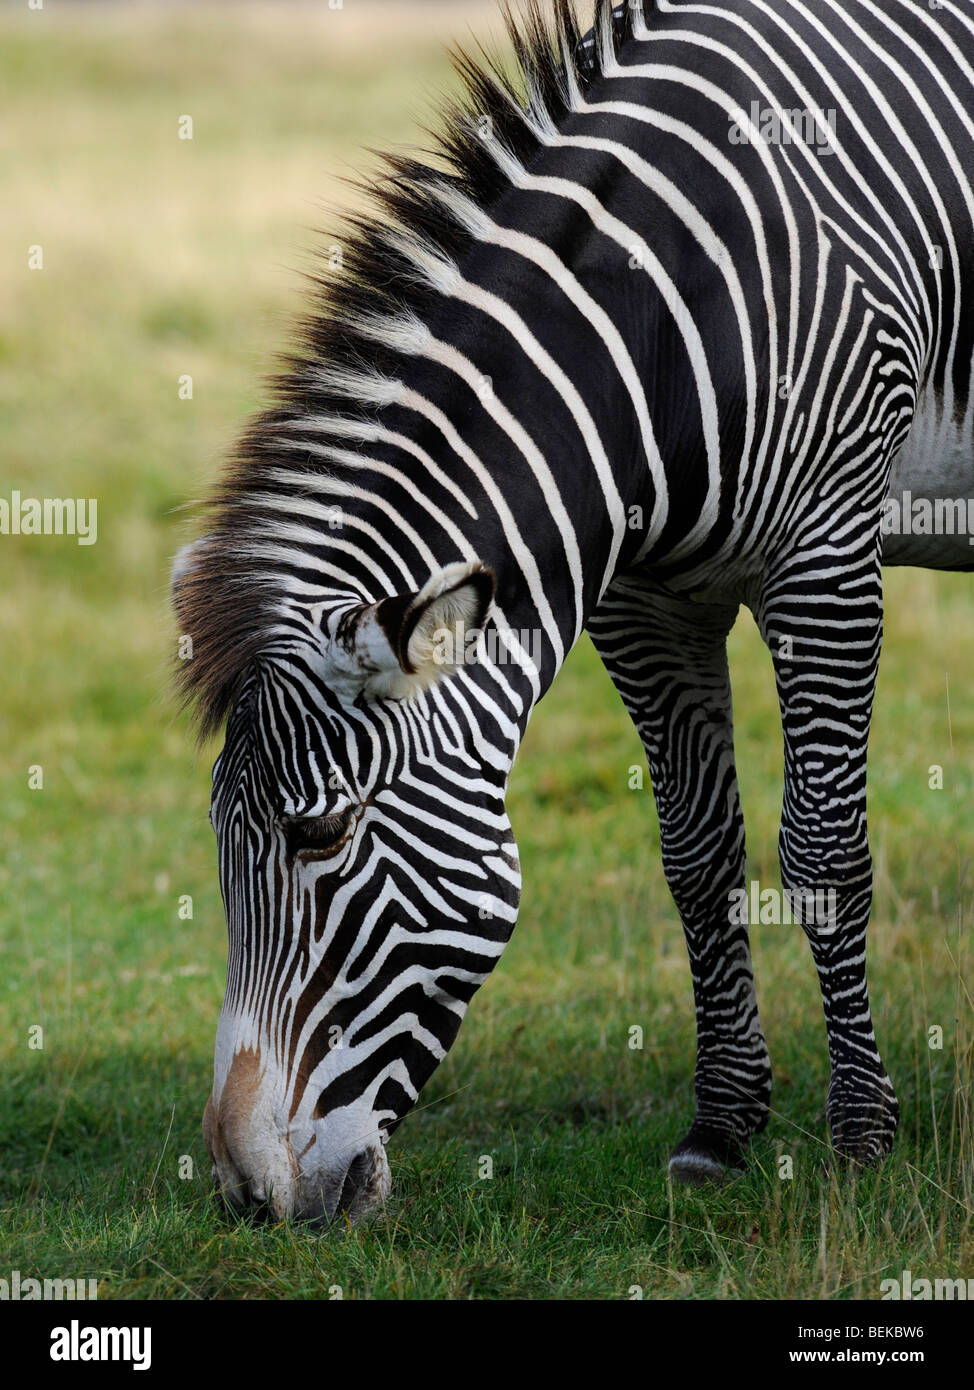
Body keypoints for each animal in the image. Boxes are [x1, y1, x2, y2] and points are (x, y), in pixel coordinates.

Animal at [172, 0, 974, 1222]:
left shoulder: (826, 556)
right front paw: (721, 1126)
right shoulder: (647, 599)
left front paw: (860, 1137)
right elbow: (696, 853)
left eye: (321, 834)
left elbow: (823, 845)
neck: (666, 319)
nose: (245, 1198)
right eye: (217, 835)